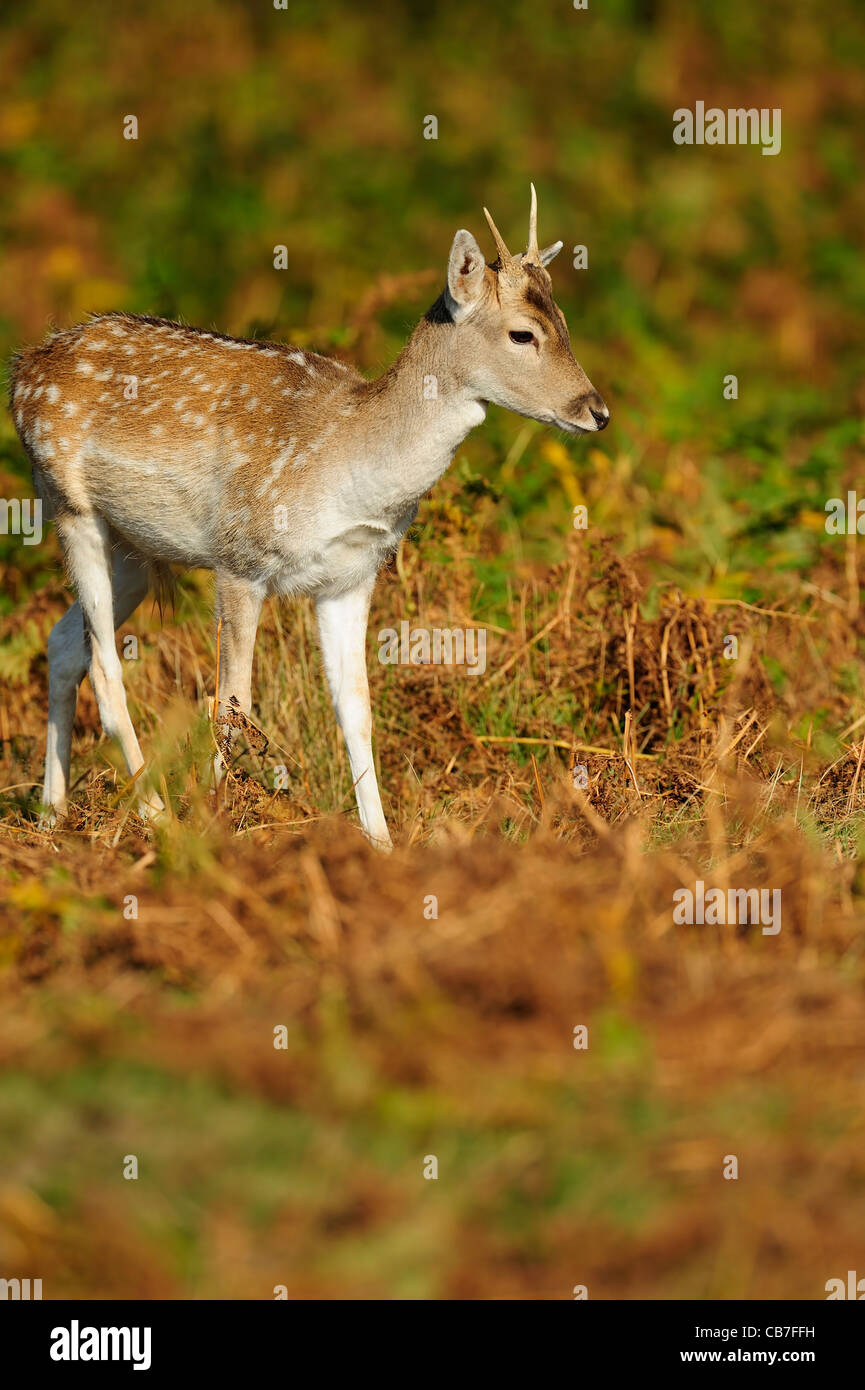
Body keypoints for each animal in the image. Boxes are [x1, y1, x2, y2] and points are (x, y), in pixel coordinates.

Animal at [9, 186, 608, 850]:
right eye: (522, 334)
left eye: (566, 324)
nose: (597, 411)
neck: (346, 470)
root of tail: (25, 367)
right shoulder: (240, 559)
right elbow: (231, 704)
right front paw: (226, 827)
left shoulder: (352, 577)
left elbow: (357, 711)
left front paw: (382, 844)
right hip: (72, 507)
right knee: (107, 668)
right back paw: (156, 817)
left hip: (136, 550)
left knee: (66, 642)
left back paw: (52, 815)